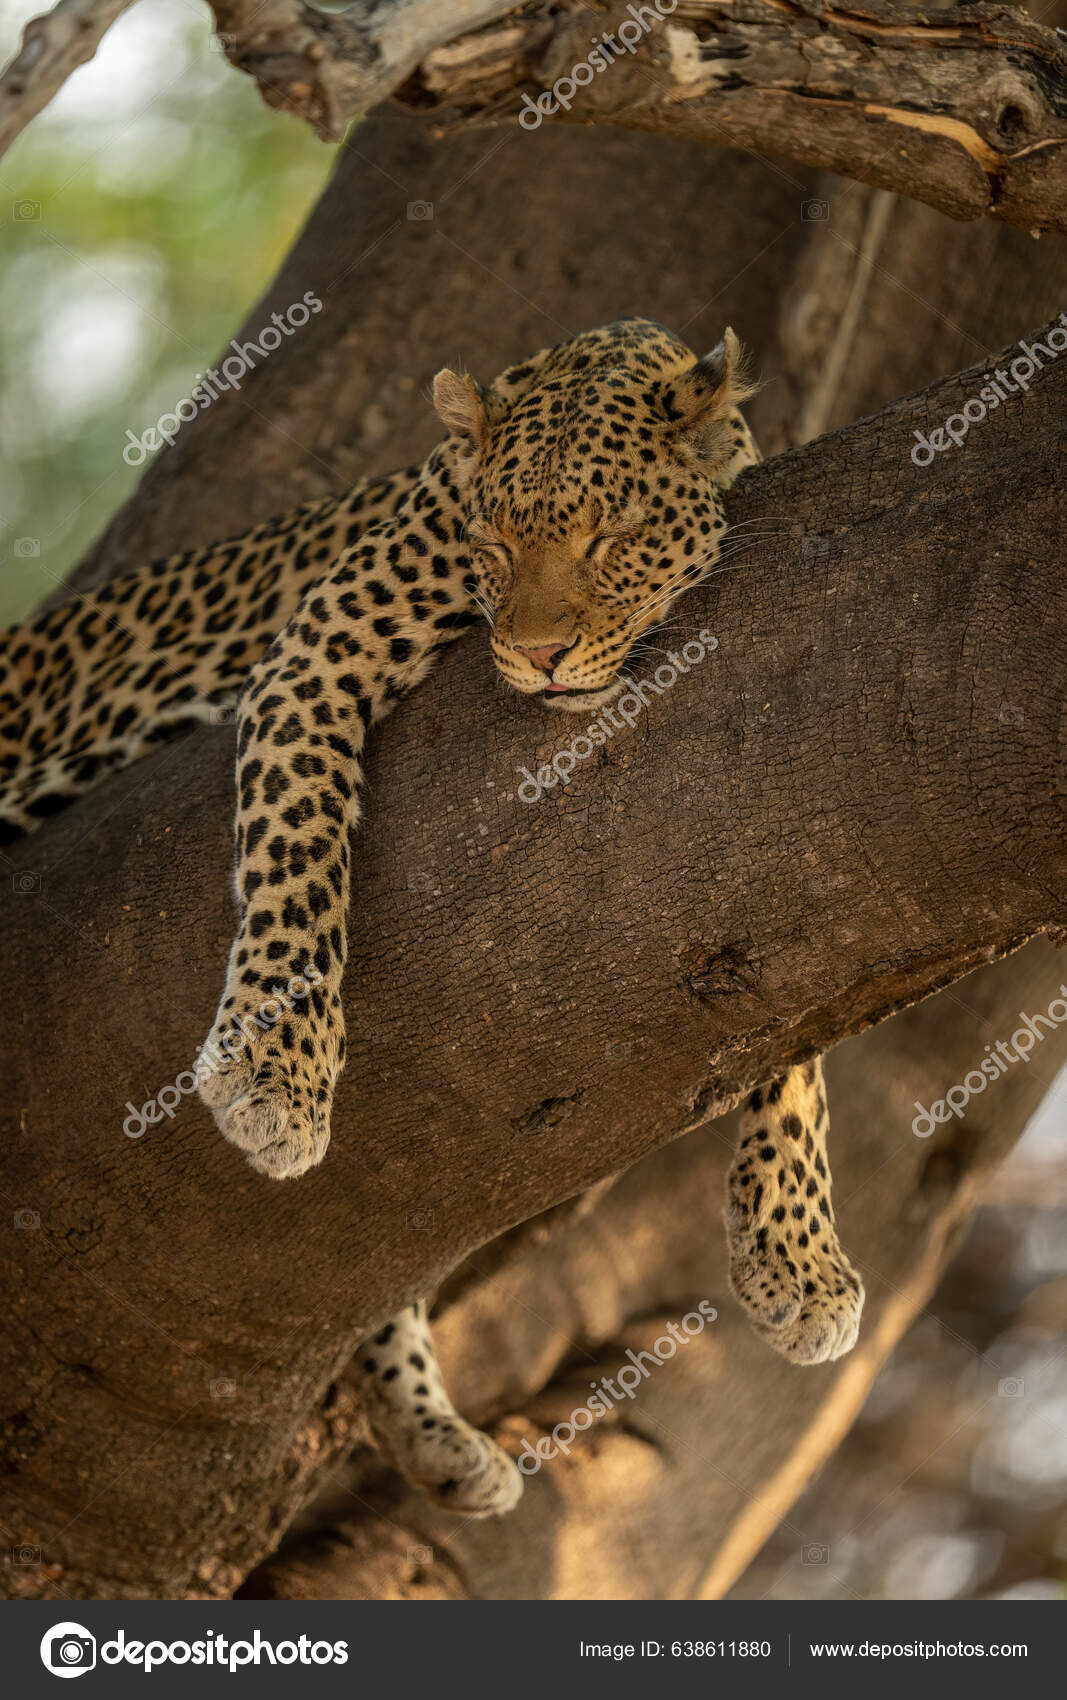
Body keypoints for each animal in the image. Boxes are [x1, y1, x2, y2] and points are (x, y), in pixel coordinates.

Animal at [0, 318, 863, 1520]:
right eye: (492, 541)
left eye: (611, 538)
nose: (538, 657)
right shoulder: (316, 652)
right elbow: (299, 839)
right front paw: (275, 1070)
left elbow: (799, 1029)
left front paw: (797, 1254)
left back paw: (431, 1431)